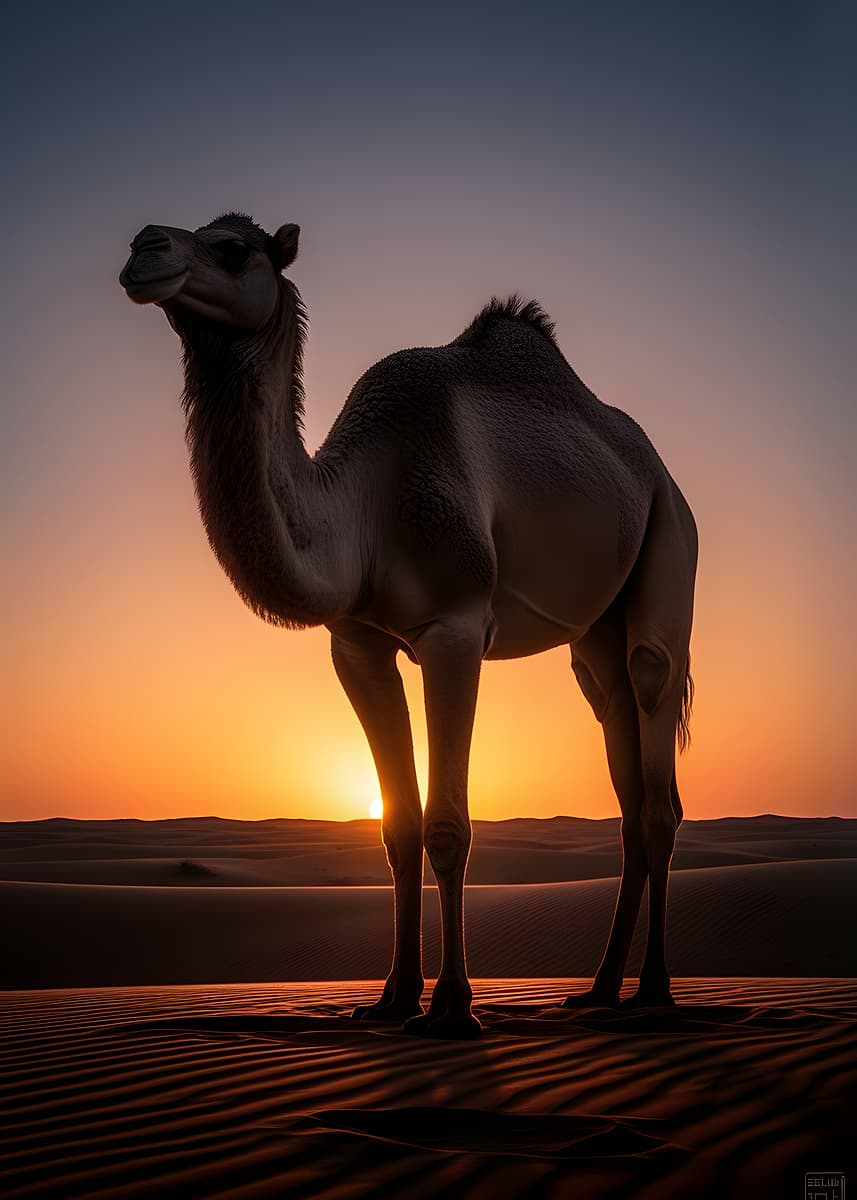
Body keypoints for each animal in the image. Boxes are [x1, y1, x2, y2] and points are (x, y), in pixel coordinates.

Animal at [120, 211, 697, 1038]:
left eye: (233, 248)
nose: (145, 247)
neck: (363, 503)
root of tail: (662, 474)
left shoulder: (454, 629)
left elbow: (448, 825)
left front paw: (453, 1007)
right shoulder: (357, 646)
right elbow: (396, 827)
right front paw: (392, 997)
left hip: (668, 543)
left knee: (656, 760)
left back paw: (652, 990)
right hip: (595, 631)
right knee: (617, 750)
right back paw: (598, 990)